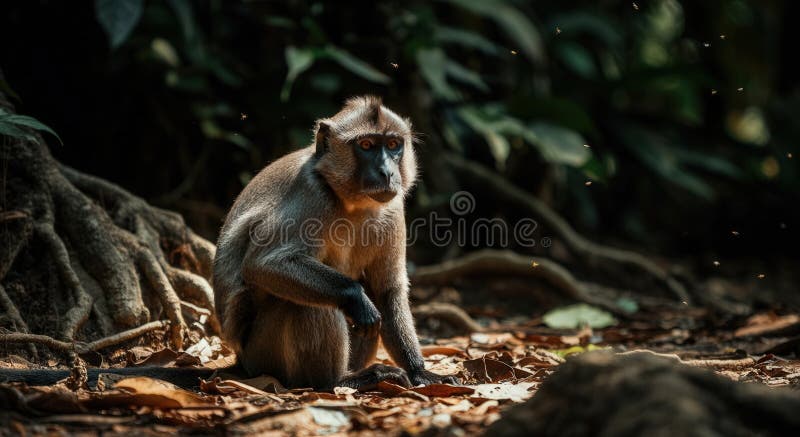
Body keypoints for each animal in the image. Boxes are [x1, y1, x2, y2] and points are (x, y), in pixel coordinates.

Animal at [212, 95, 457, 390]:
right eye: (366, 145)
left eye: (393, 145)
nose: (387, 172)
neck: (352, 202)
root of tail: (241, 359)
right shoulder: (312, 193)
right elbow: (262, 264)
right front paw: (356, 298)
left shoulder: (393, 207)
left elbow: (387, 291)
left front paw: (419, 371)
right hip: (262, 356)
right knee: (311, 304)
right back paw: (341, 380)